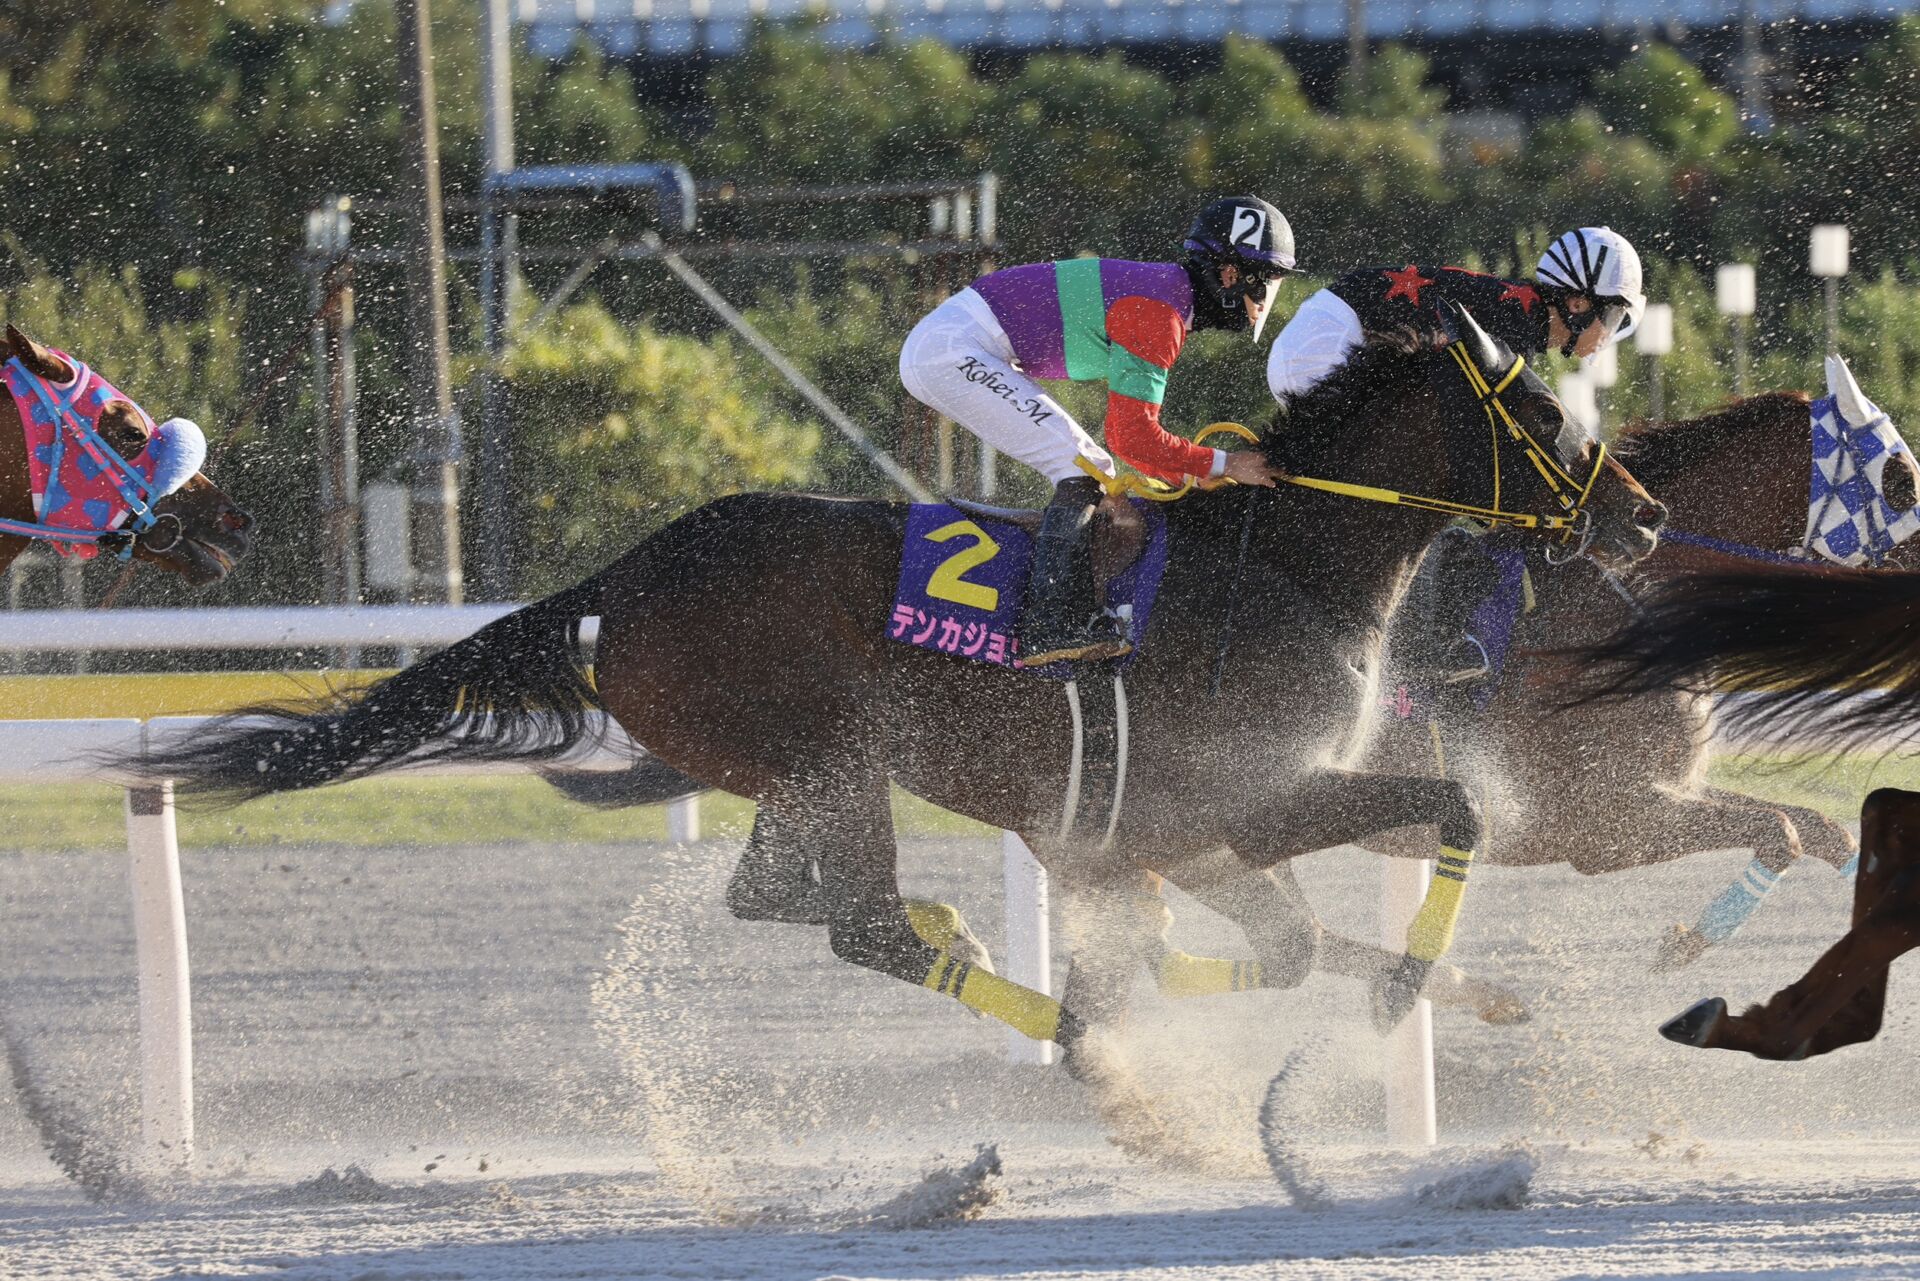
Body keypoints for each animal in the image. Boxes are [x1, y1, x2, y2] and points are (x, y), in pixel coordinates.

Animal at [123, 302, 1665, 1059]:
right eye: (1541, 413)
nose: (1642, 516)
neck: (1291, 564)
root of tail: (628, 572)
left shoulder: (1177, 828)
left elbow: (1273, 941)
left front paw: (1466, 999)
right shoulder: (1234, 800)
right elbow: (1451, 813)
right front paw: (1398, 997)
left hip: (792, 773)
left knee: (780, 897)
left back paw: (986, 950)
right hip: (833, 753)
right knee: (853, 921)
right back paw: (1076, 1042)